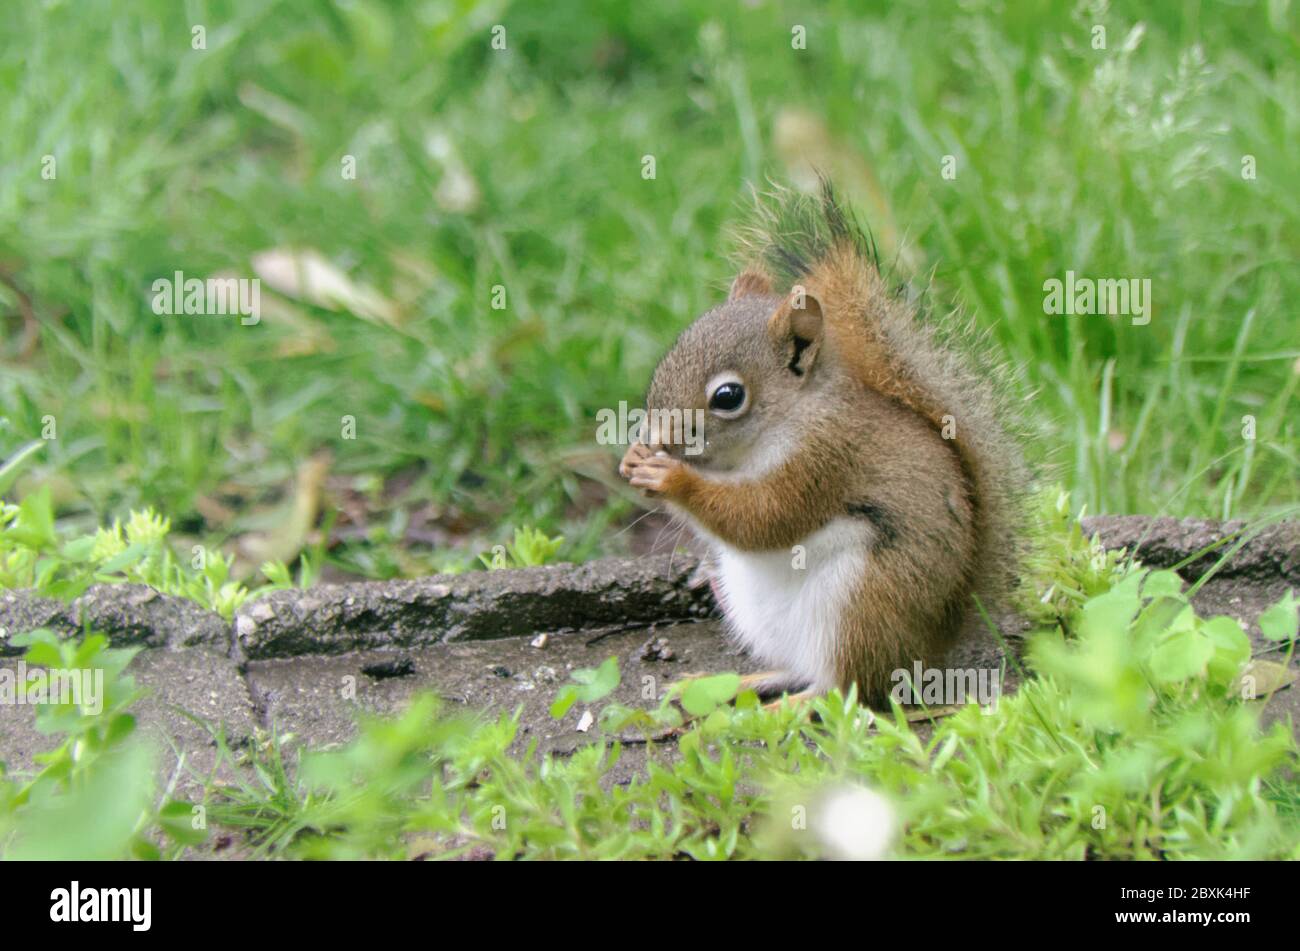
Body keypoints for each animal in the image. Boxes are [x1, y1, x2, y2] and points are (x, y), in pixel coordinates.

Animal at [619, 181, 1029, 708]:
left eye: (728, 397)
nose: (658, 440)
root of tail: (934, 645)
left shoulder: (826, 457)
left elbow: (764, 517)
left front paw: (671, 478)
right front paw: (635, 459)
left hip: (861, 603)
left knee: (846, 687)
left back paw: (792, 708)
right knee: (798, 670)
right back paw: (737, 684)